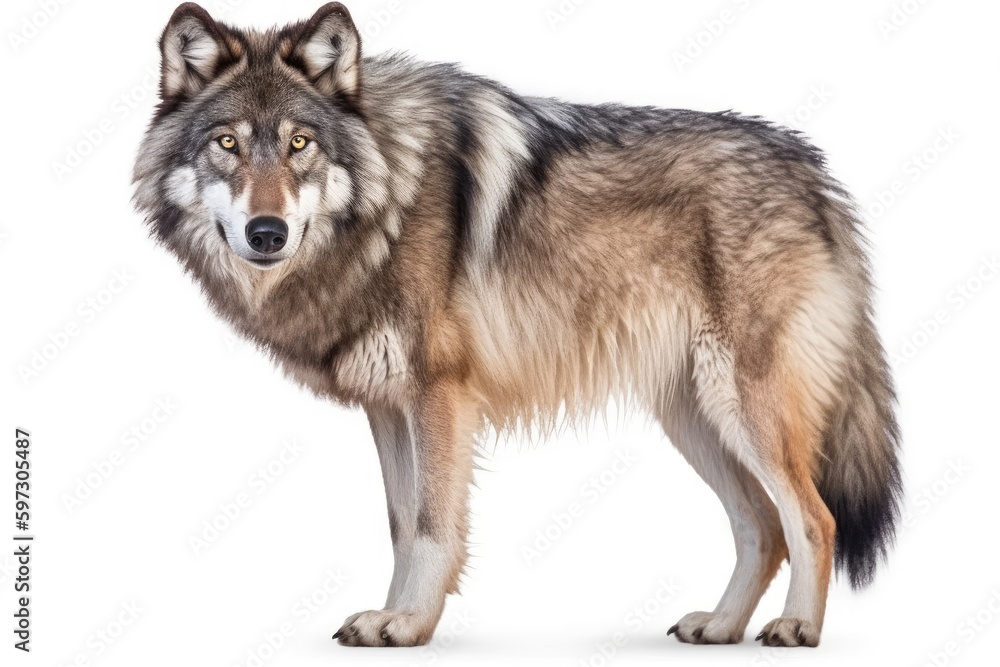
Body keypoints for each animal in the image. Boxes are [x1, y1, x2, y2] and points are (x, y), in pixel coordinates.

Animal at [133, 2, 902, 648]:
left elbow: (433, 525)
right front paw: (392, 614)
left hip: (742, 406)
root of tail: (817, 175)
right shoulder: (390, 408)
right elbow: (402, 525)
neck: (387, 201)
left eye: (299, 143)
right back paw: (719, 626)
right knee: (762, 525)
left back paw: (797, 627)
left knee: (814, 517)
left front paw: (409, 624)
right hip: (695, 417)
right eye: (227, 143)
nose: (267, 233)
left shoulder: (440, 395)